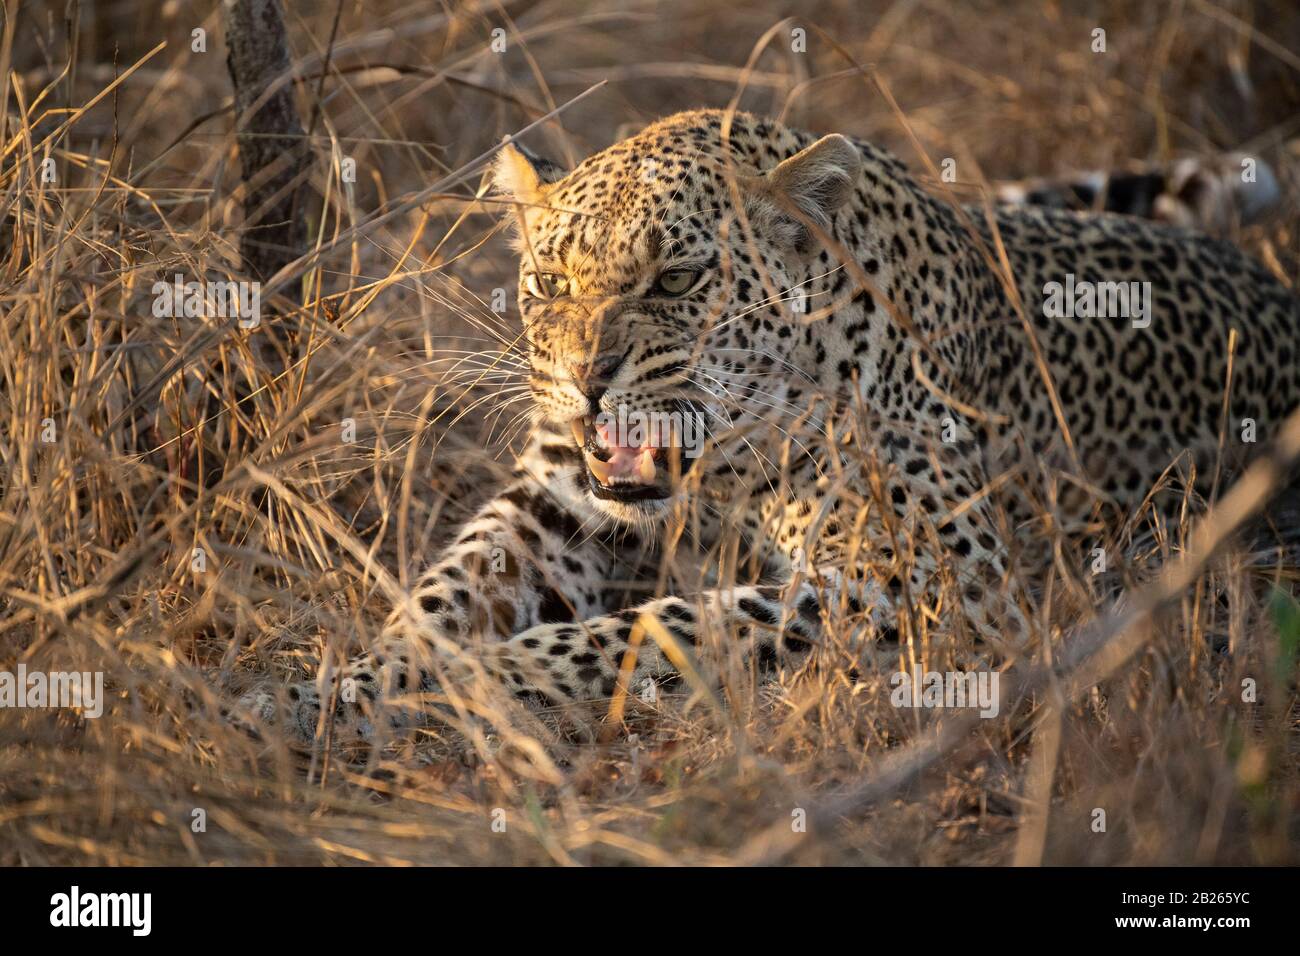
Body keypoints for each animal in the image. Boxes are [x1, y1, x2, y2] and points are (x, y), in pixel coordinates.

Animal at [235, 109, 1299, 746]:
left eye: (675, 280)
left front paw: (464, 685)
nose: (585, 383)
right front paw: (341, 688)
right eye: (549, 284)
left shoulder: (936, 579)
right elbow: (441, 594)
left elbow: (643, 632)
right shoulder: (555, 504)